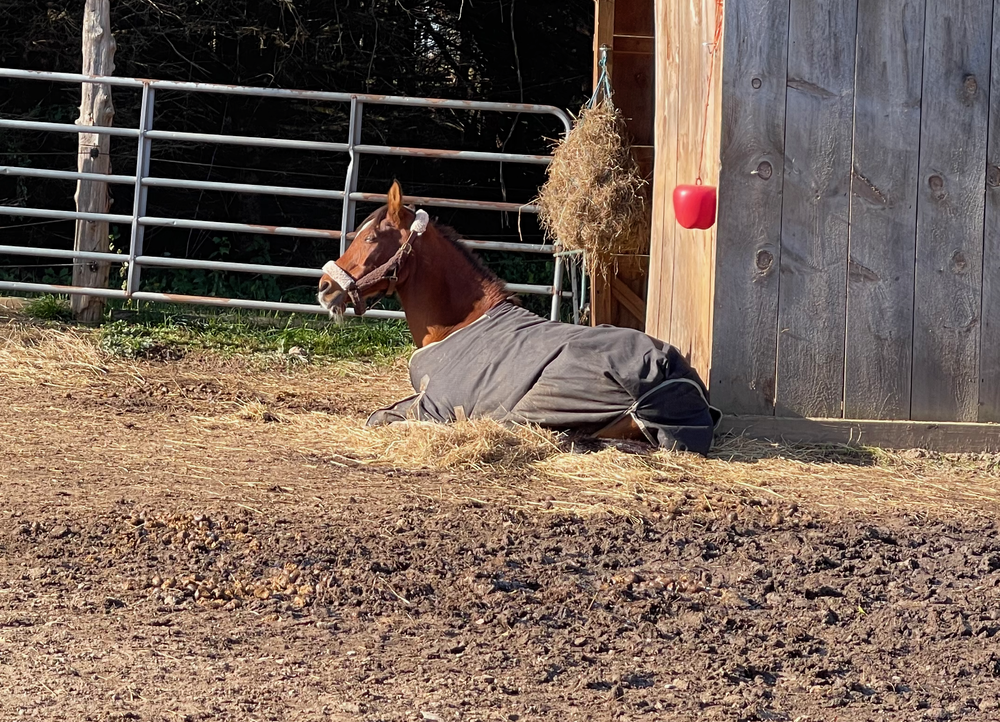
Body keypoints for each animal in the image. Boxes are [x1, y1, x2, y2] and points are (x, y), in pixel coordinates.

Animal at [318, 181, 719, 454]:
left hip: (533, 407)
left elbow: (380, 418)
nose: (324, 287)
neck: (460, 324)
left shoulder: (435, 407)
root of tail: (673, 376)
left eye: (370, 238)